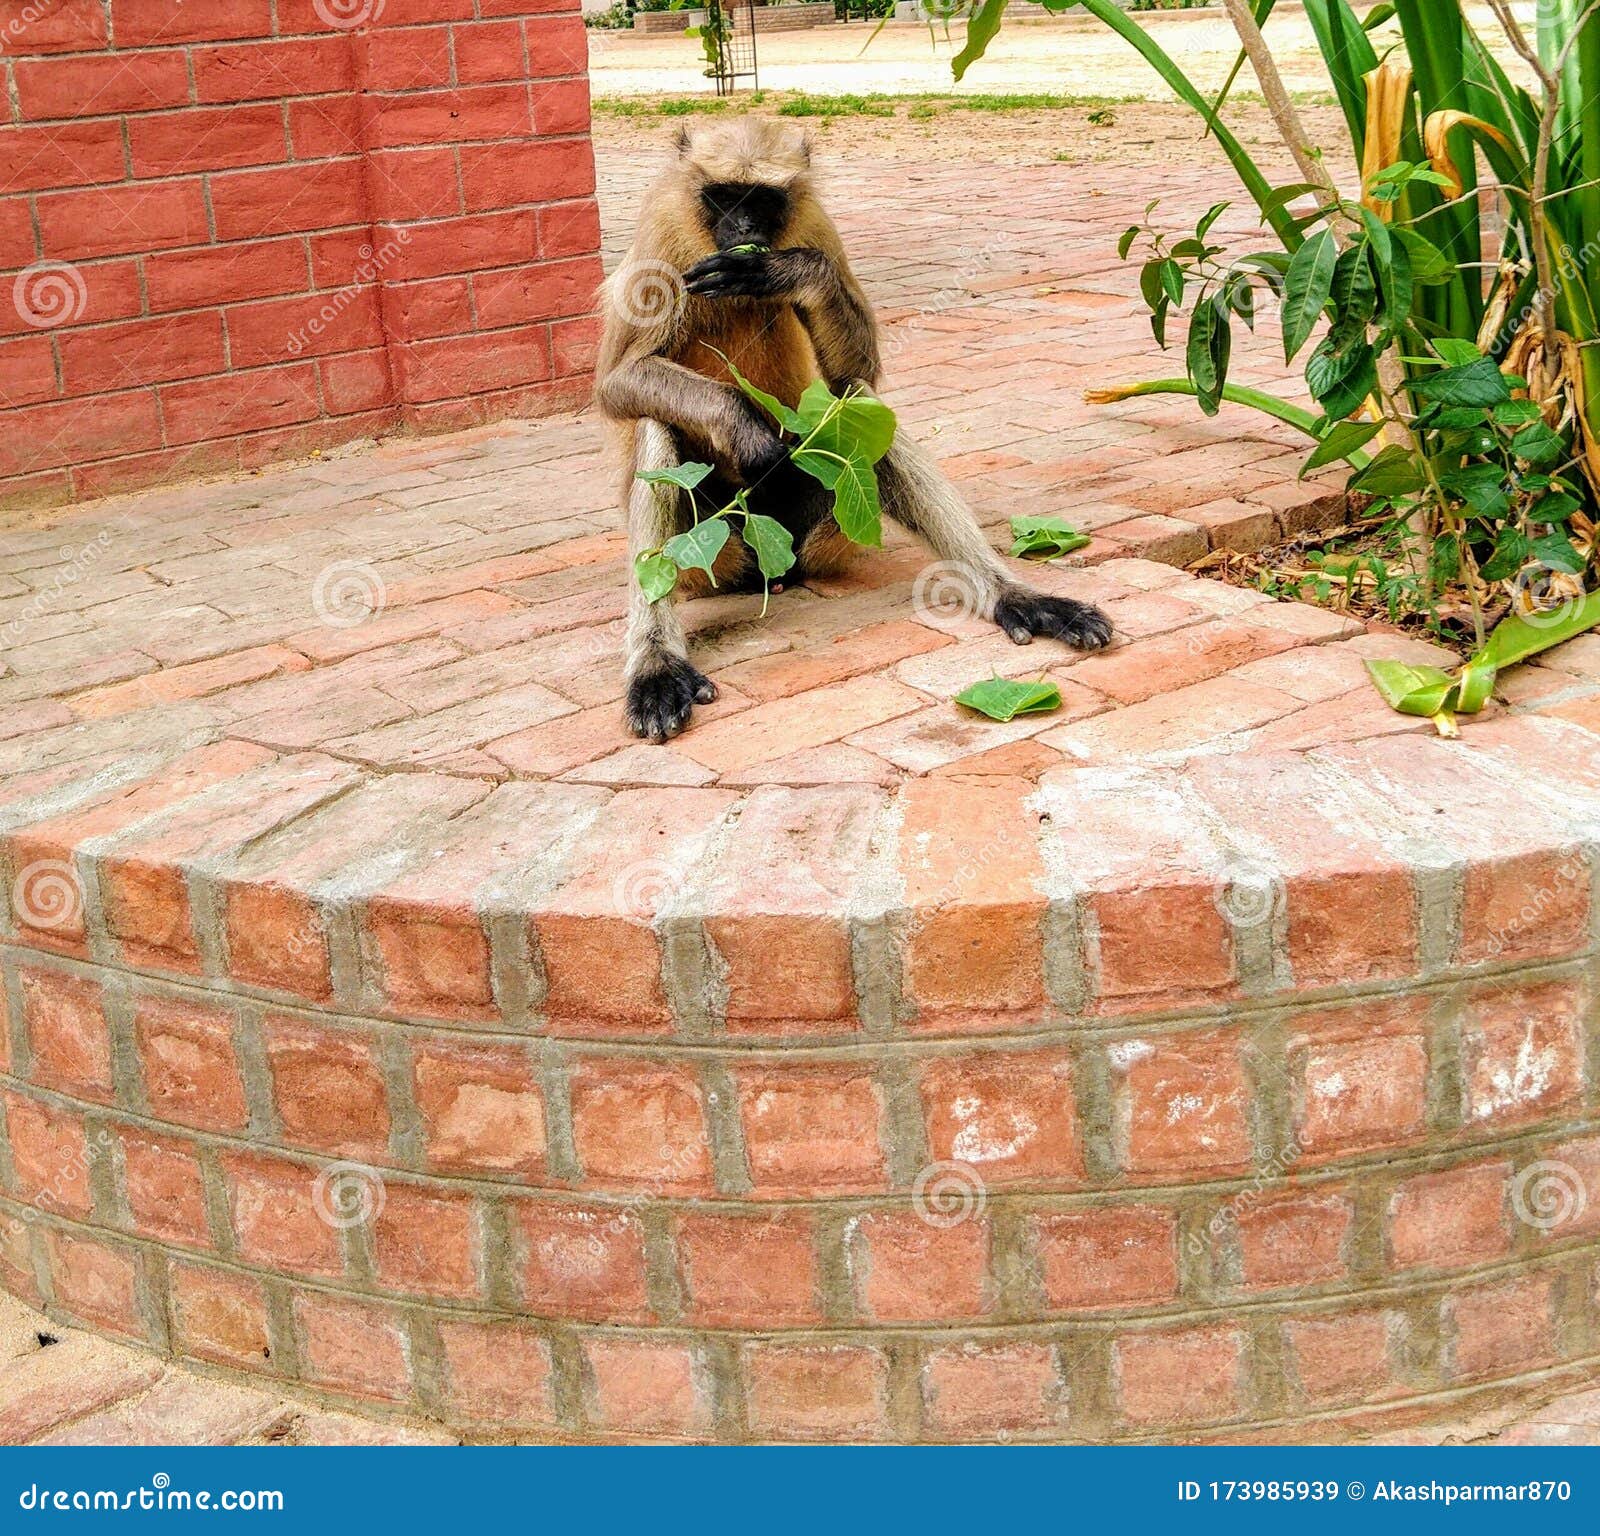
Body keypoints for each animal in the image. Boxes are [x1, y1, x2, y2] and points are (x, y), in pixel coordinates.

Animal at [595, 117, 1112, 743]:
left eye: (762, 201)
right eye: (724, 197)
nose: (743, 229)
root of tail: (772, 568)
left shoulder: (812, 223)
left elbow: (855, 370)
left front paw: (788, 273)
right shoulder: (664, 226)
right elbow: (618, 381)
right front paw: (744, 428)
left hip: (825, 525)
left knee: (854, 401)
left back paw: (1013, 596)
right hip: (711, 555)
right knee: (657, 424)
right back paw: (656, 663)